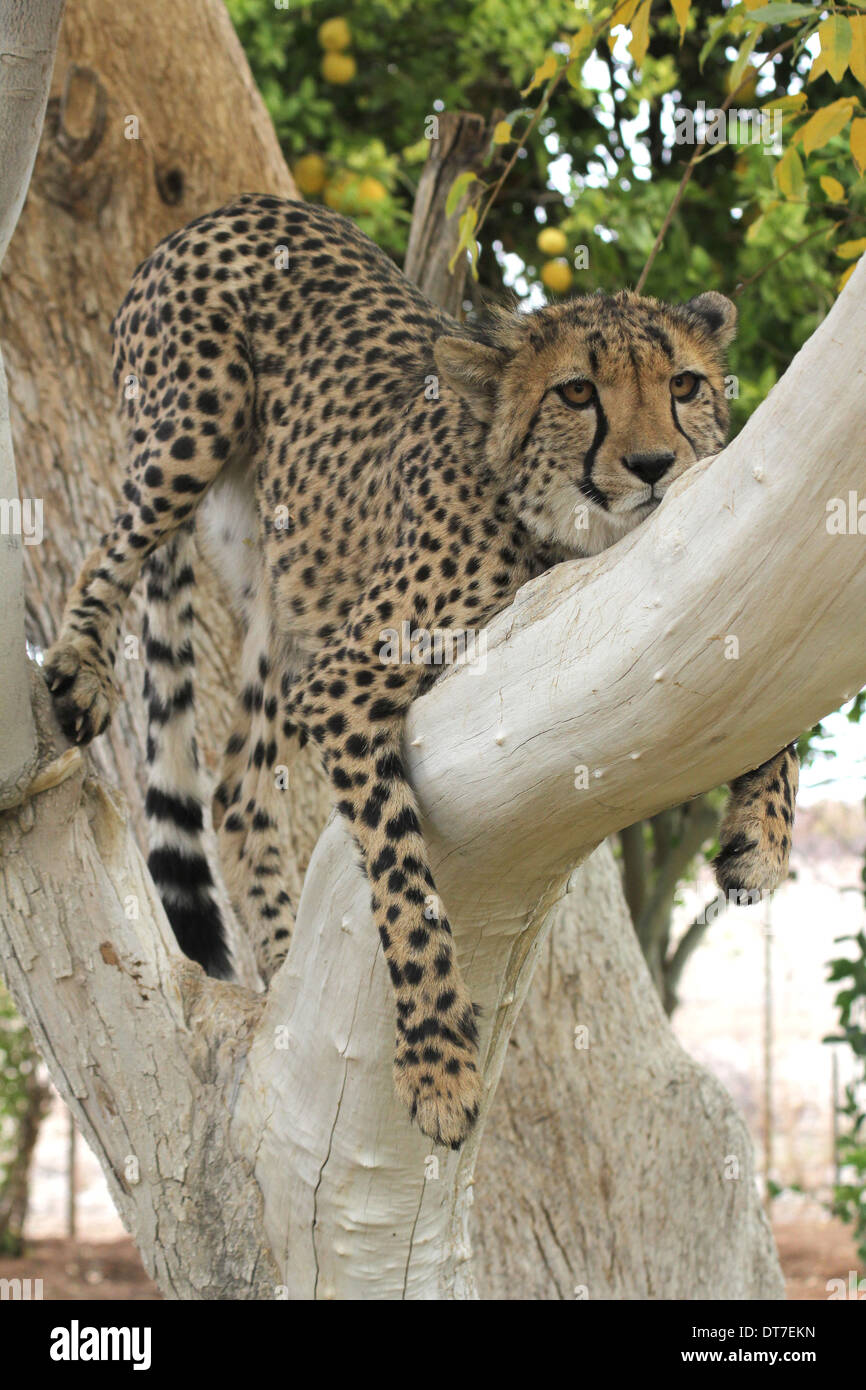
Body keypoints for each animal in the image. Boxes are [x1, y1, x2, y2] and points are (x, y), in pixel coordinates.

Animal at [43, 193, 798, 1148]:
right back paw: (78, 665)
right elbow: (405, 880)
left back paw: (284, 962)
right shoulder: (346, 683)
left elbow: (768, 686)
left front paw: (761, 837)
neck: (561, 532)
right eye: (577, 392)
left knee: (240, 785)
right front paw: (438, 1064)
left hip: (291, 588)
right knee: (113, 545)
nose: (656, 467)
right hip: (193, 430)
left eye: (685, 386)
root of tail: (237, 206)